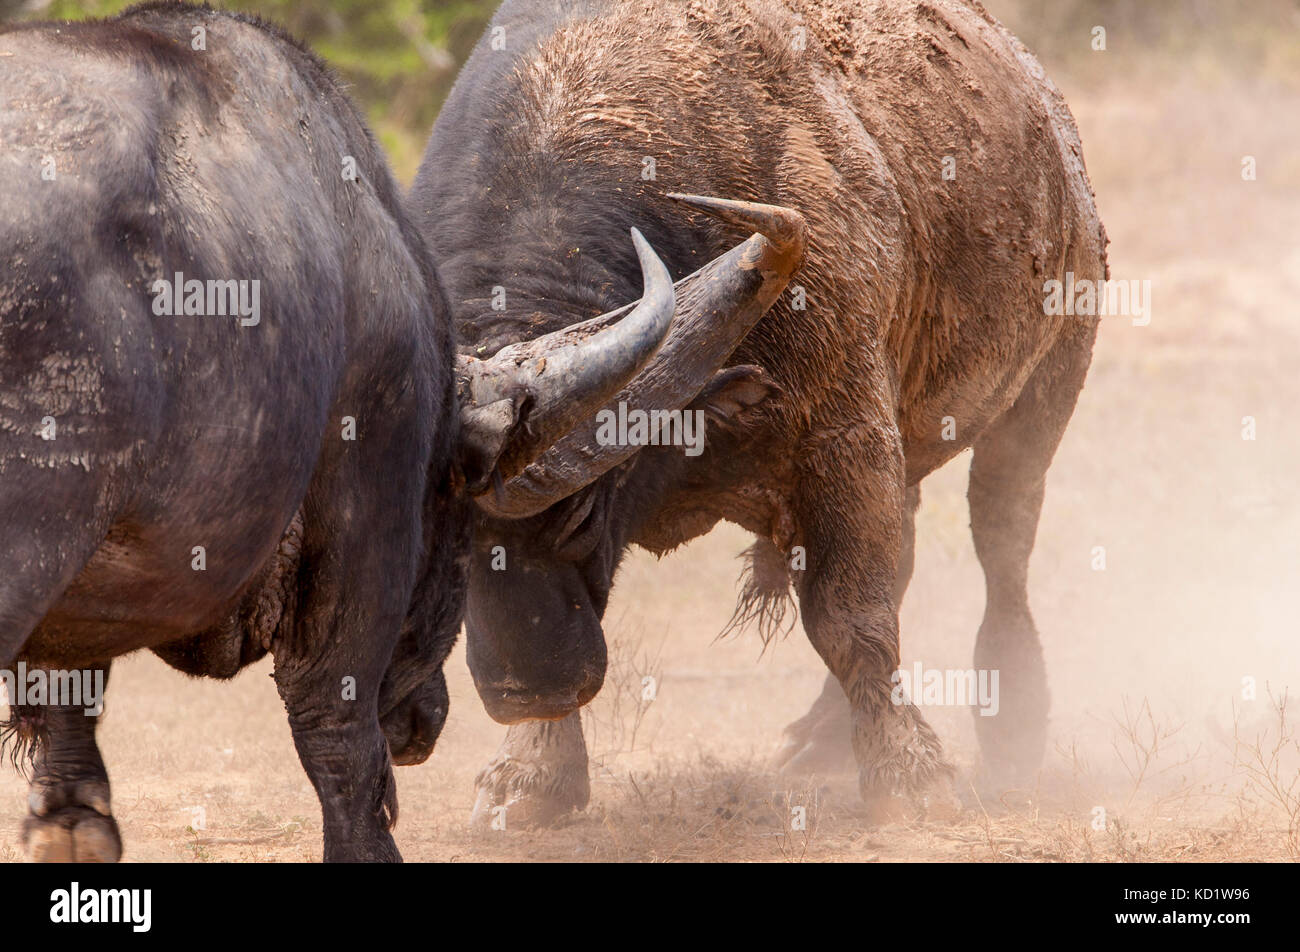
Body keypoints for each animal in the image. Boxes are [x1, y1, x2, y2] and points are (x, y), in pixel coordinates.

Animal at [411, 0, 1107, 824]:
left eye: (580, 517)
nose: (525, 691)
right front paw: (531, 775)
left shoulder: (846, 437)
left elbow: (851, 619)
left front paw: (908, 774)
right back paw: (825, 737)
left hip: (1046, 390)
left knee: (1004, 548)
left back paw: (1012, 733)